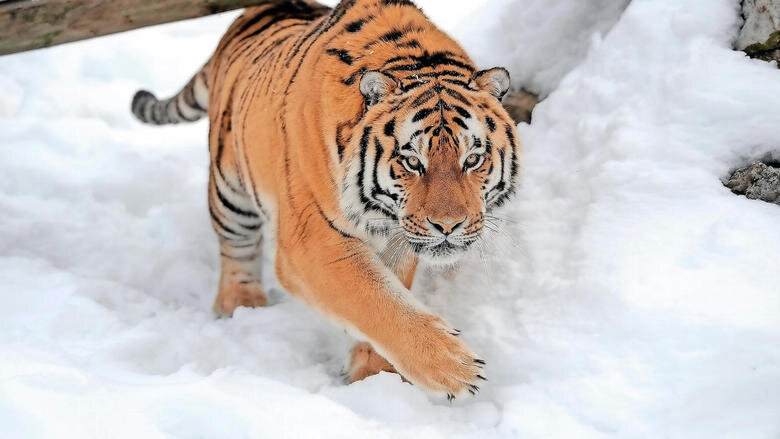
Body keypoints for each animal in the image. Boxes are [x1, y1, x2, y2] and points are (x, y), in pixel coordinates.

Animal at [131, 0, 520, 399]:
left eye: (472, 159)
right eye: (412, 161)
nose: (448, 226)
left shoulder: (398, 241)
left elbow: (393, 293)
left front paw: (373, 377)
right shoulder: (313, 240)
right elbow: (374, 299)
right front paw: (454, 368)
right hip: (229, 187)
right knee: (236, 247)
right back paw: (242, 305)